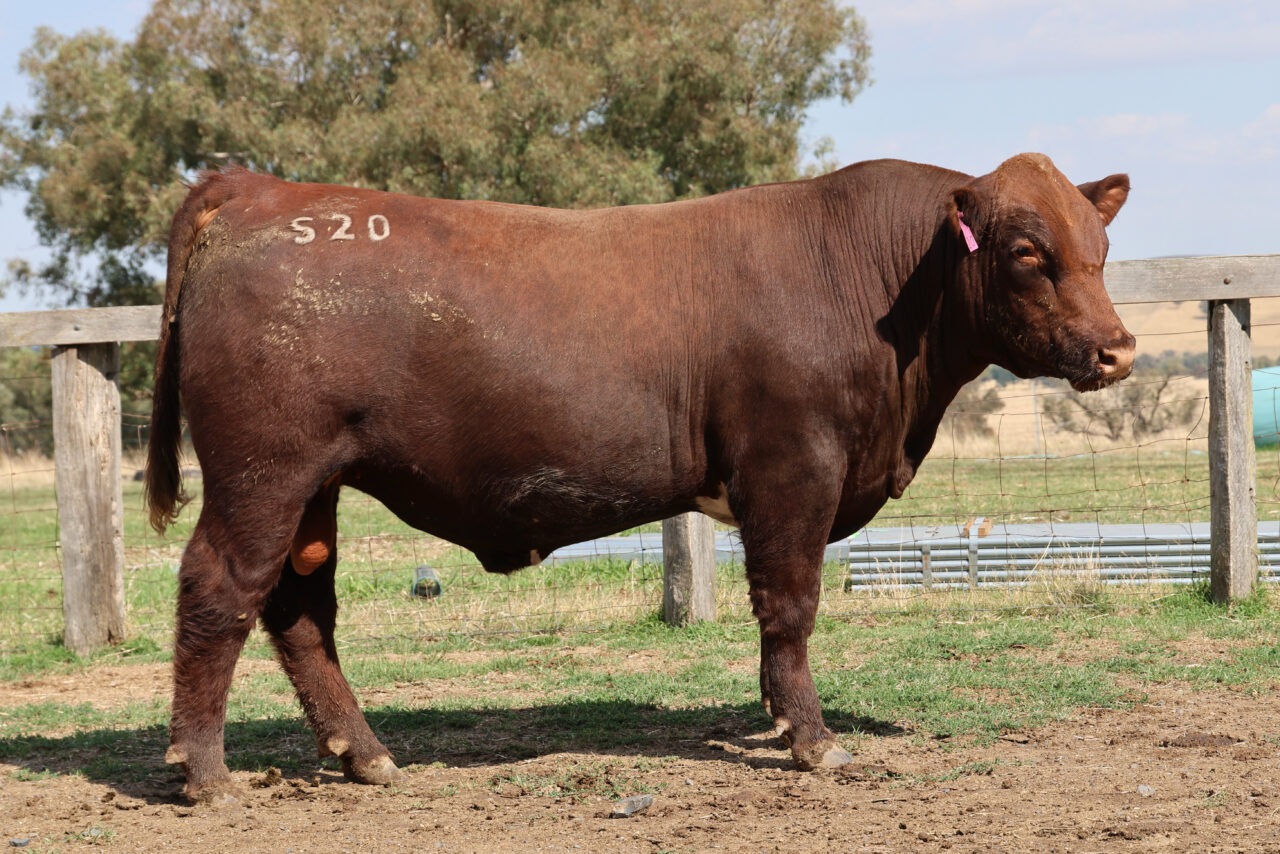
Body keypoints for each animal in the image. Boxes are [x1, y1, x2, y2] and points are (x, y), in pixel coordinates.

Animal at [145, 153, 1134, 802]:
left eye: (1100, 245)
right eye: (1025, 251)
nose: (1117, 349)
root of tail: (261, 188)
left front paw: (777, 719)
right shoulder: (793, 469)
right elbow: (790, 606)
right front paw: (814, 741)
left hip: (310, 488)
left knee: (300, 609)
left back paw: (365, 755)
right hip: (263, 471)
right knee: (218, 591)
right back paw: (207, 774)